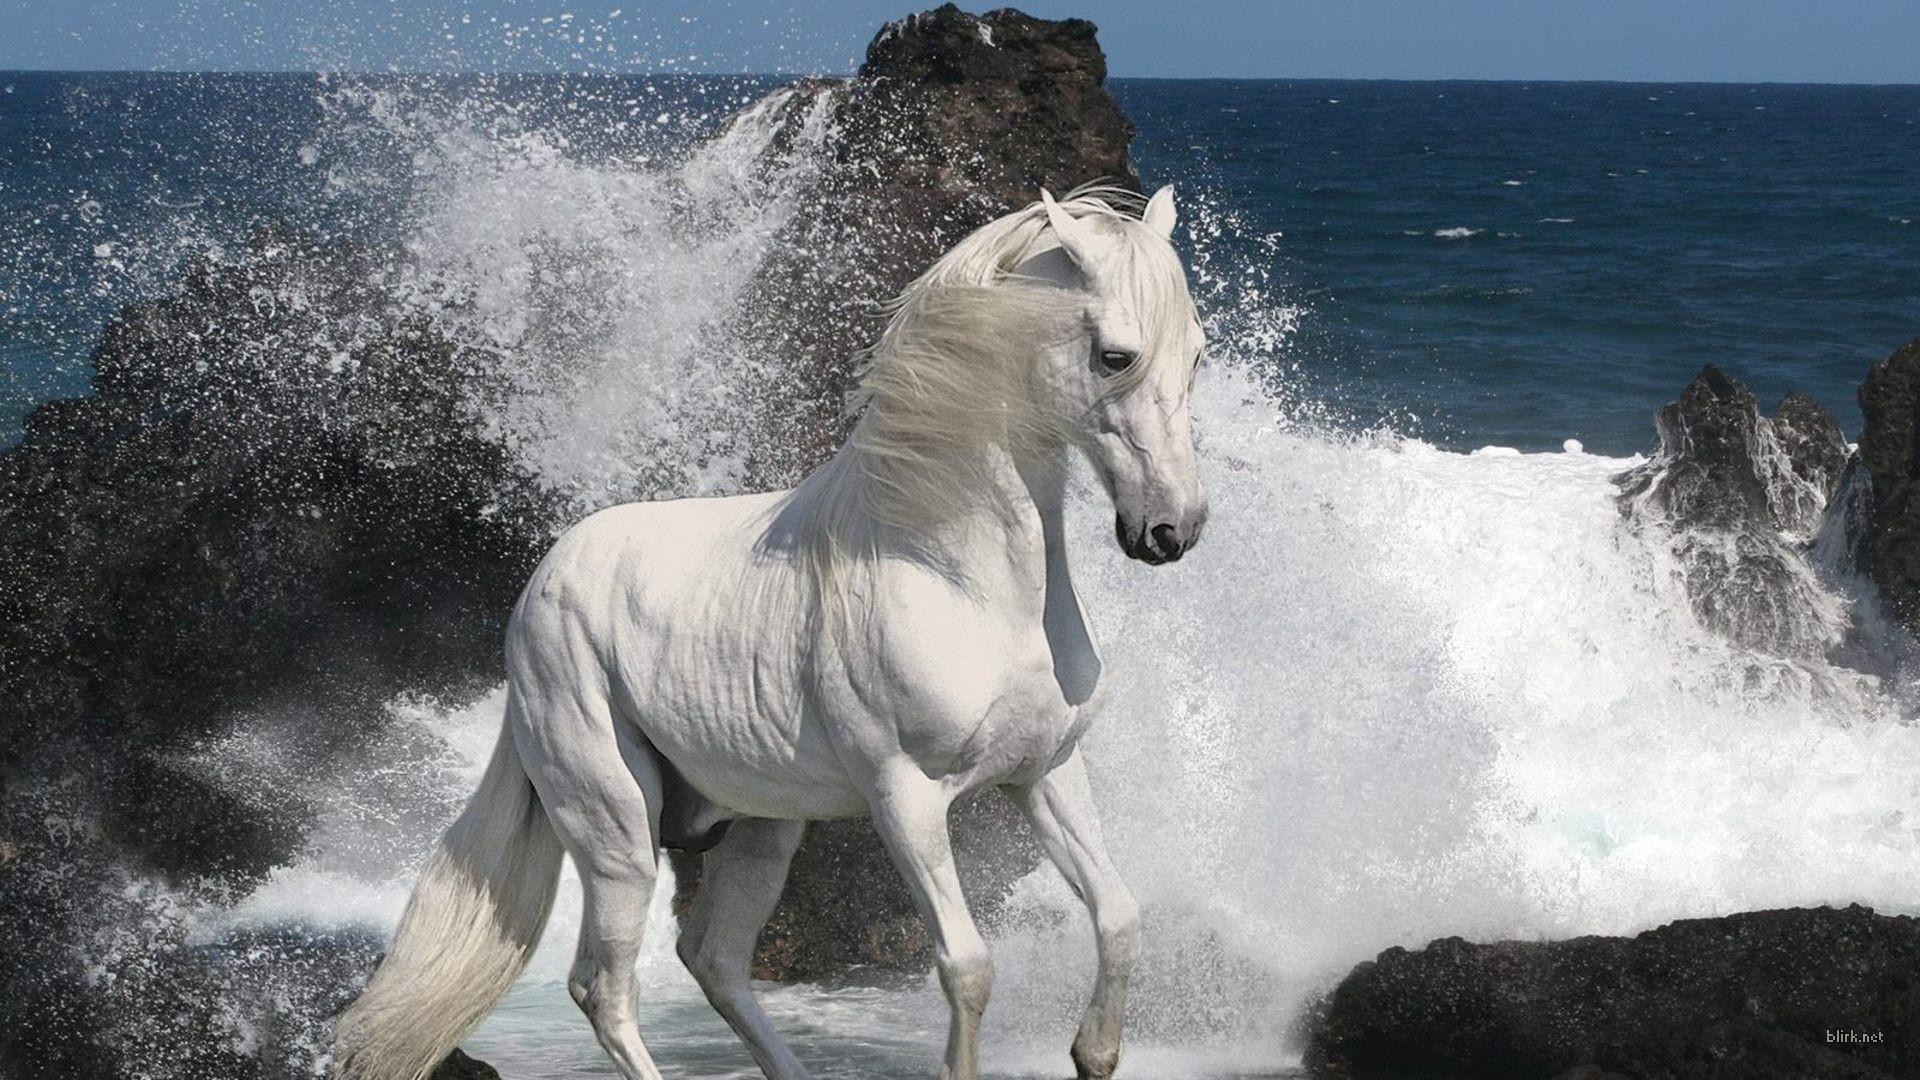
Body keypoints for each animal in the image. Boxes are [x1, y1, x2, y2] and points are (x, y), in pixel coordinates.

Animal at [332, 184, 1209, 1080]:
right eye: (1115, 356)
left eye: (1198, 356)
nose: (1169, 531)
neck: (953, 573)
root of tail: (539, 587)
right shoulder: (906, 799)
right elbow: (967, 968)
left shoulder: (1045, 773)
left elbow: (1120, 917)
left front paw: (1093, 1053)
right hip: (616, 830)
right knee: (604, 988)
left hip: (761, 828)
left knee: (713, 959)